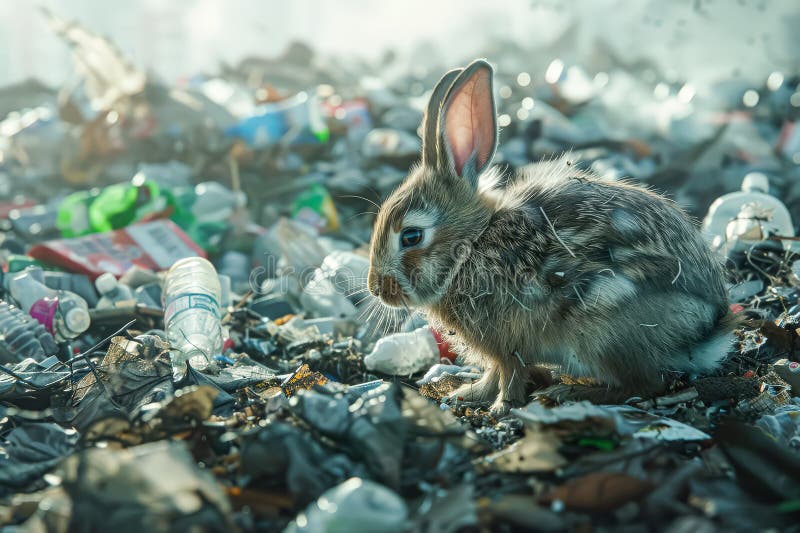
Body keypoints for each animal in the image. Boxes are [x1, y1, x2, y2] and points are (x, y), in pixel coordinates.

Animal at [367, 59, 736, 414]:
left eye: (411, 236)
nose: (376, 288)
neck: (471, 246)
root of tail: (707, 330)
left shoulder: (507, 341)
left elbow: (509, 374)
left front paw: (500, 407)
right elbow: (493, 374)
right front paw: (467, 394)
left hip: (604, 335)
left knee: (644, 384)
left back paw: (567, 392)